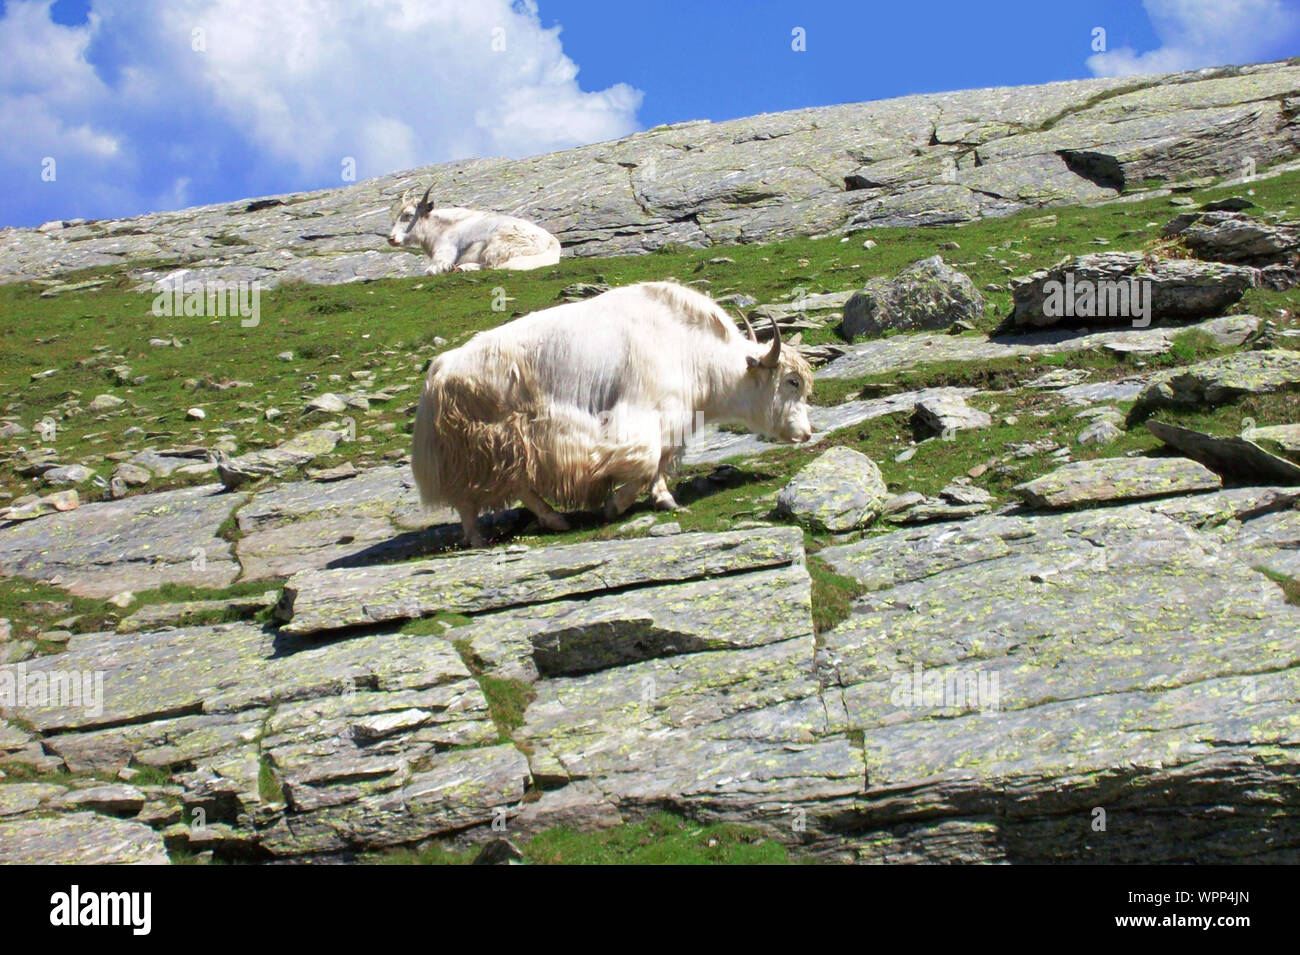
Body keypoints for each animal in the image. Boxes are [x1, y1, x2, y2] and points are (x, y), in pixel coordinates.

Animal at [388, 186, 561, 274]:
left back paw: (462, 268)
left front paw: (448, 268)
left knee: (492, 266)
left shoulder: (444, 255)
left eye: (408, 215)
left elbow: (430, 271)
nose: (391, 238)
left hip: (495, 248)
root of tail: (551, 242)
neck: (442, 227)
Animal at [411, 281, 815, 548]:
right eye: (792, 381)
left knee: (519, 485)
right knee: (470, 498)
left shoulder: (671, 421)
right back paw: (480, 538)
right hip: (476, 446)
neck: (693, 352)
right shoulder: (639, 415)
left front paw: (665, 499)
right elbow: (646, 461)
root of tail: (440, 371)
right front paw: (612, 506)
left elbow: (660, 462)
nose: (807, 433)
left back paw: (554, 519)